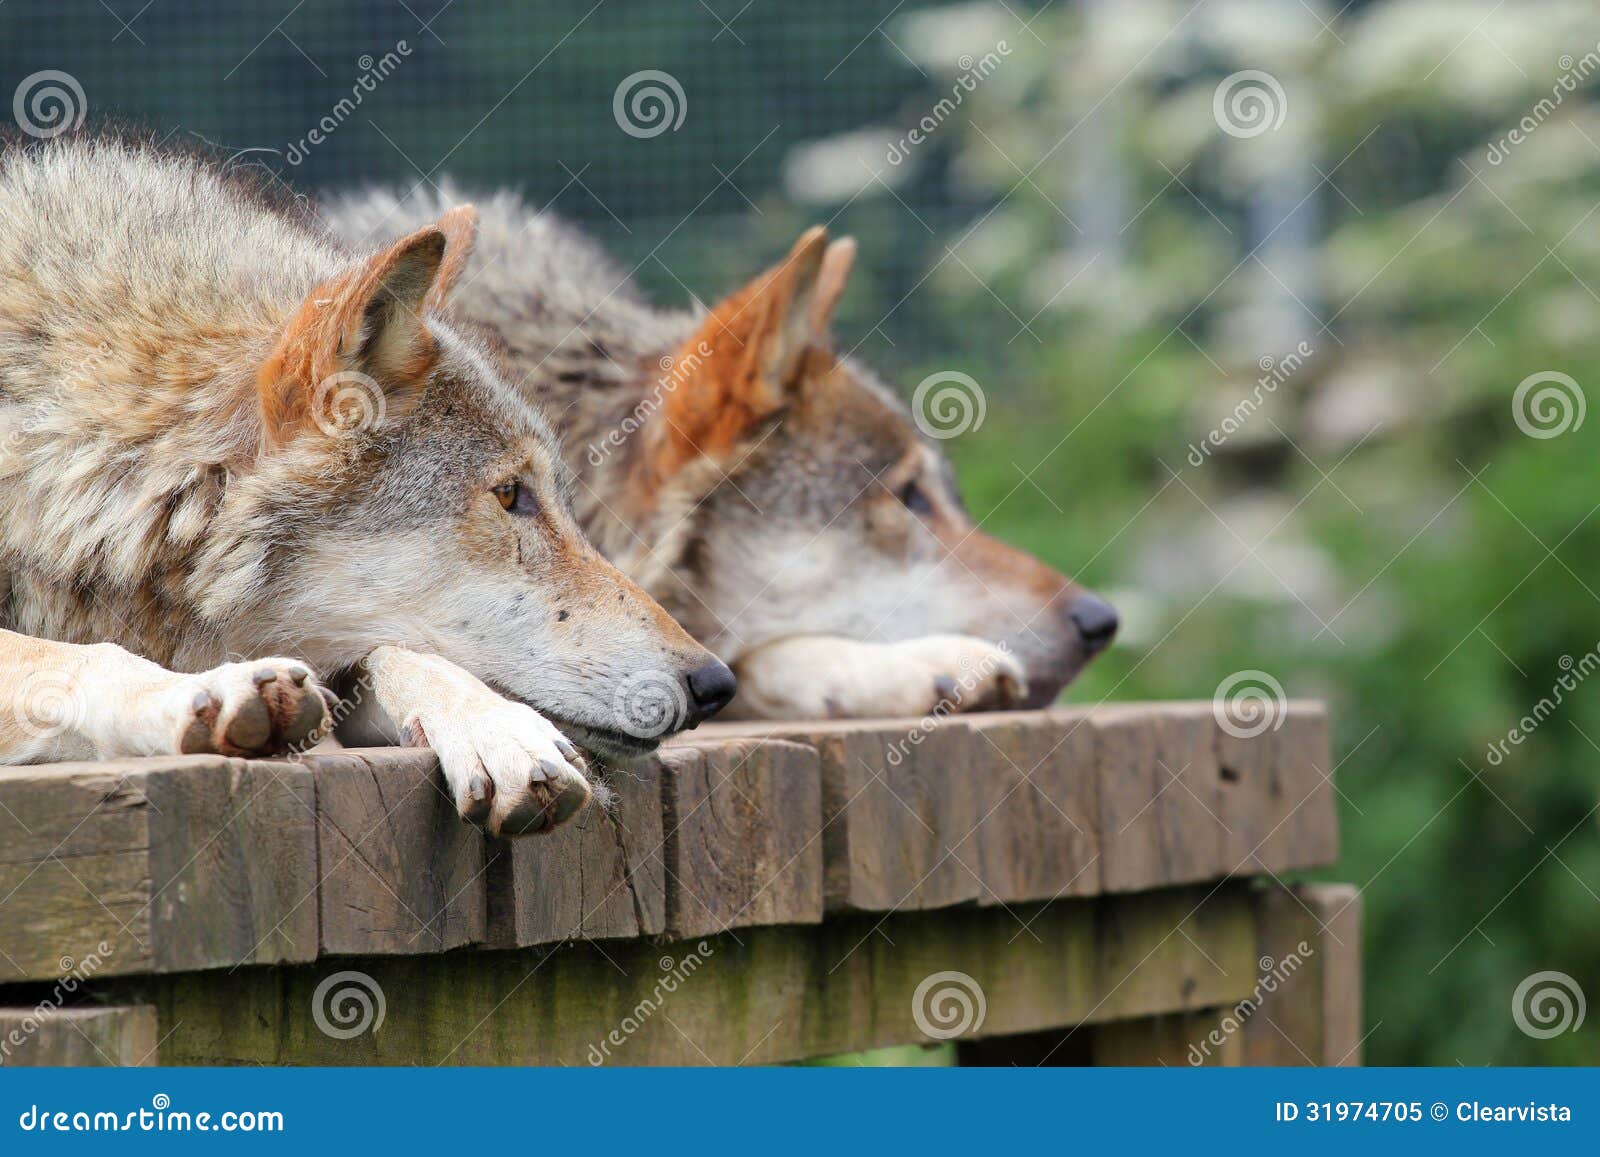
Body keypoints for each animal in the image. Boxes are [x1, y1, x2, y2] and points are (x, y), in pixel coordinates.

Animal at [0, 136, 735, 836]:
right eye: (509, 495)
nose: (714, 682)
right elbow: (88, 657)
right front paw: (205, 692)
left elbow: (399, 654)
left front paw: (497, 726)